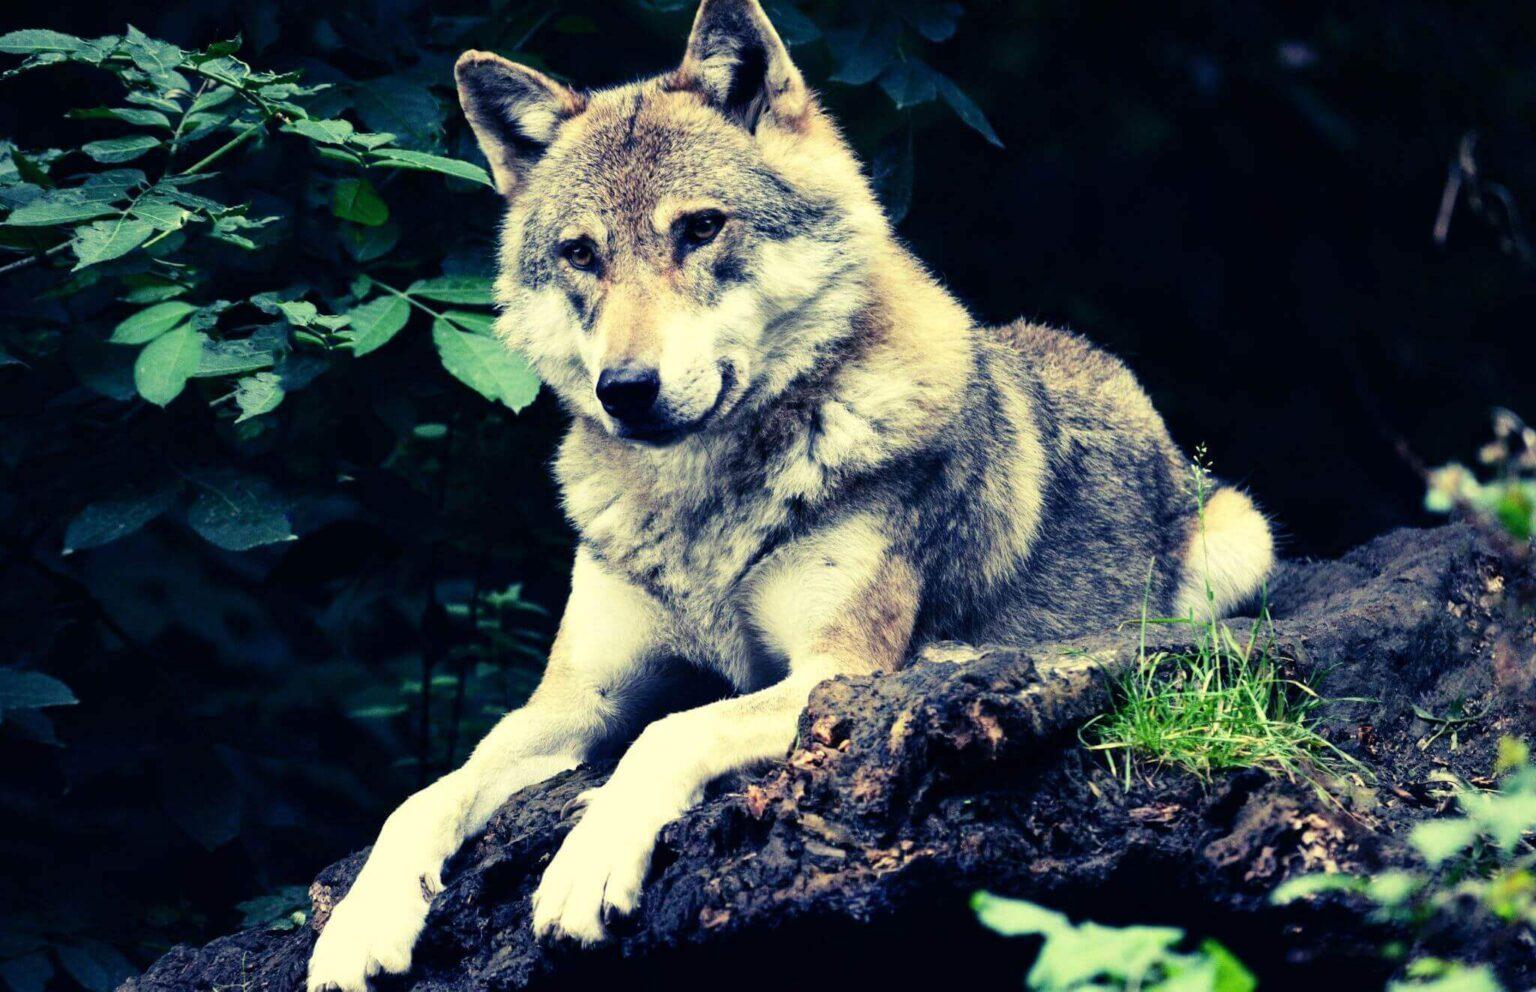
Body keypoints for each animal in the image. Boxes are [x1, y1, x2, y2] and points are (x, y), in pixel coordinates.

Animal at [306, 1, 1275, 987]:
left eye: (700, 228)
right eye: (581, 254)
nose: (626, 389)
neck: (700, 509)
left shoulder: (829, 672)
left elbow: (670, 731)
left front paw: (585, 865)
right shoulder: (574, 701)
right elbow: (427, 793)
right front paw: (358, 924)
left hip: (1240, 540)